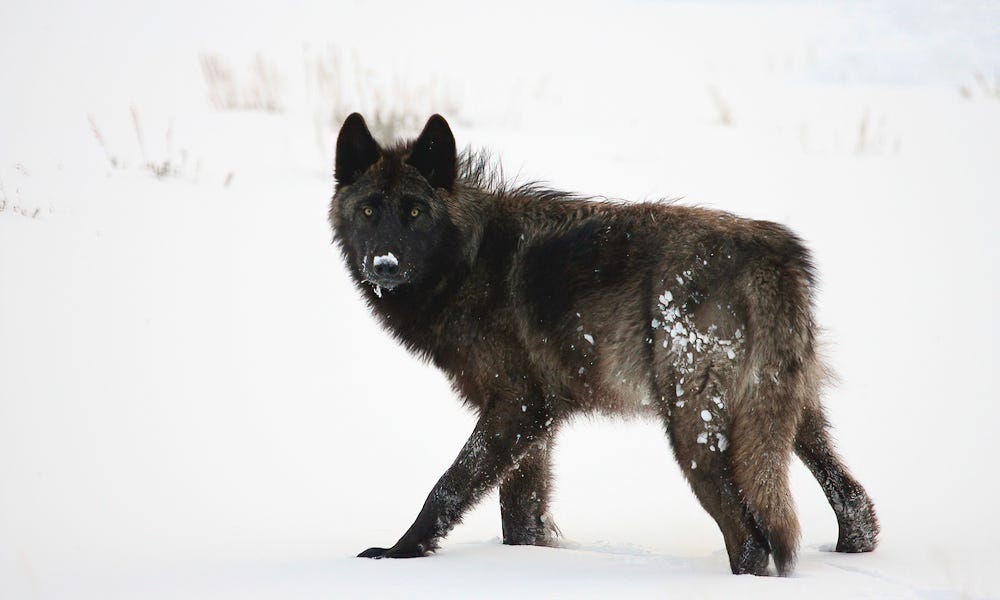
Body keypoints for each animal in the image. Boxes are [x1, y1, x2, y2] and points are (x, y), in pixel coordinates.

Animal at [329, 113, 878, 576]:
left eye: (415, 212)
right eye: (369, 210)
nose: (383, 264)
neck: (469, 260)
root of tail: (772, 254)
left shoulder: (517, 406)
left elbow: (447, 487)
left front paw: (397, 554)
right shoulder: (537, 422)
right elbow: (520, 517)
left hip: (693, 430)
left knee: (750, 539)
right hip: (790, 416)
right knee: (854, 501)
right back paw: (852, 549)